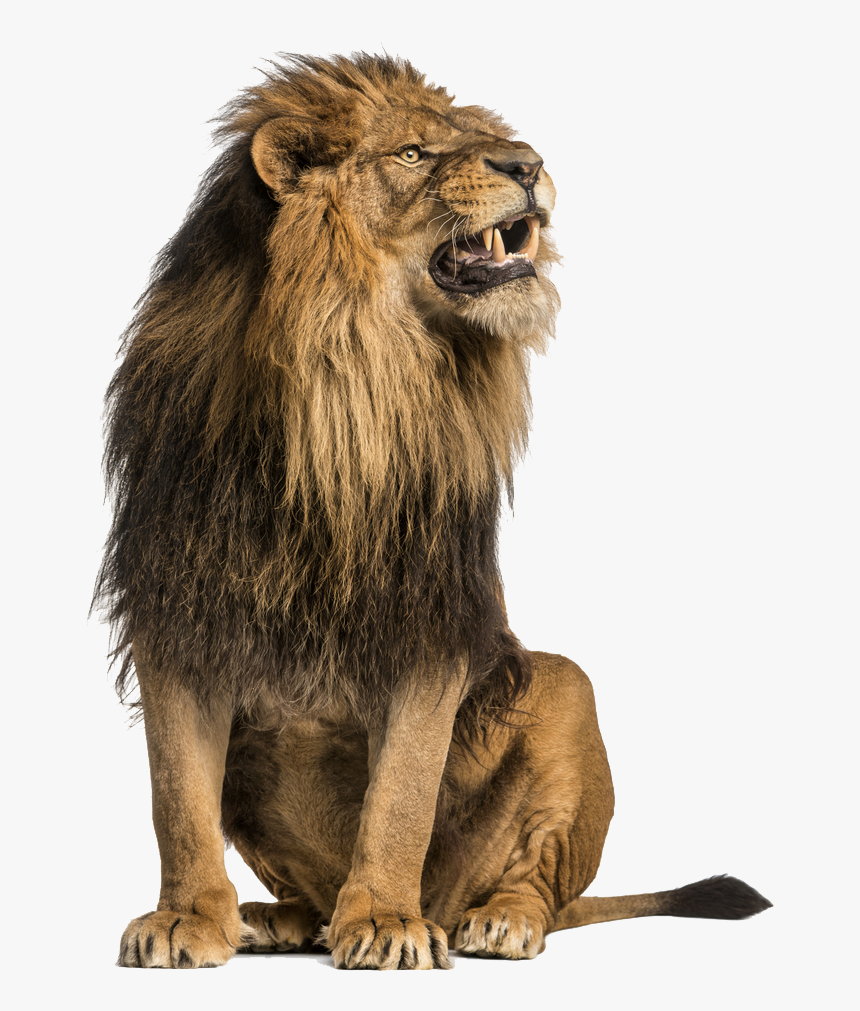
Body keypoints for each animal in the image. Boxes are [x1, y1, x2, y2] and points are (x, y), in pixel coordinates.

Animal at [97, 54, 770, 970]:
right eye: (413, 153)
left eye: (486, 139)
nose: (528, 164)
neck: (350, 378)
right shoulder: (178, 608)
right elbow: (176, 798)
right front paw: (186, 918)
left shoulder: (430, 621)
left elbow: (403, 794)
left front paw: (384, 919)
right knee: (302, 890)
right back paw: (272, 919)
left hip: (566, 688)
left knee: (539, 883)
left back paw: (492, 920)